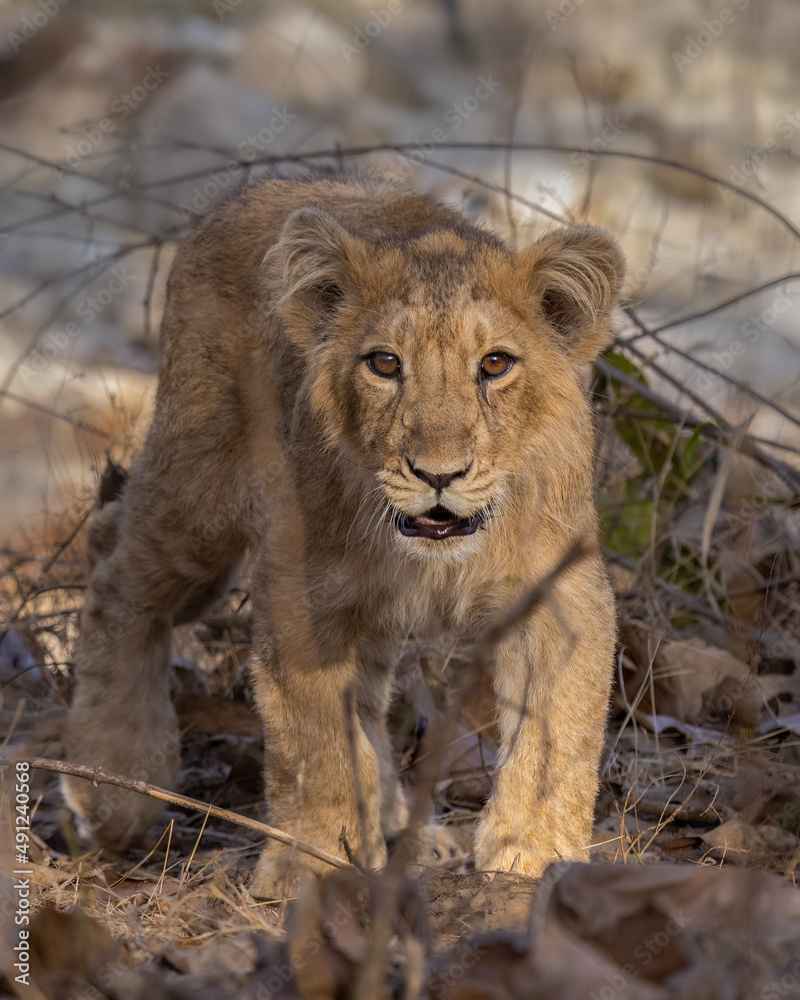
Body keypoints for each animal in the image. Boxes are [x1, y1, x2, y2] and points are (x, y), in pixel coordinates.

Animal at [62, 170, 625, 894]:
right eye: (384, 364)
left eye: (496, 364)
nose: (438, 474)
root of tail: (257, 189)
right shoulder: (301, 592)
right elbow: (317, 745)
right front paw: (318, 864)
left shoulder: (559, 592)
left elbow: (558, 731)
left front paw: (533, 852)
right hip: (200, 494)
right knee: (115, 561)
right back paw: (114, 782)